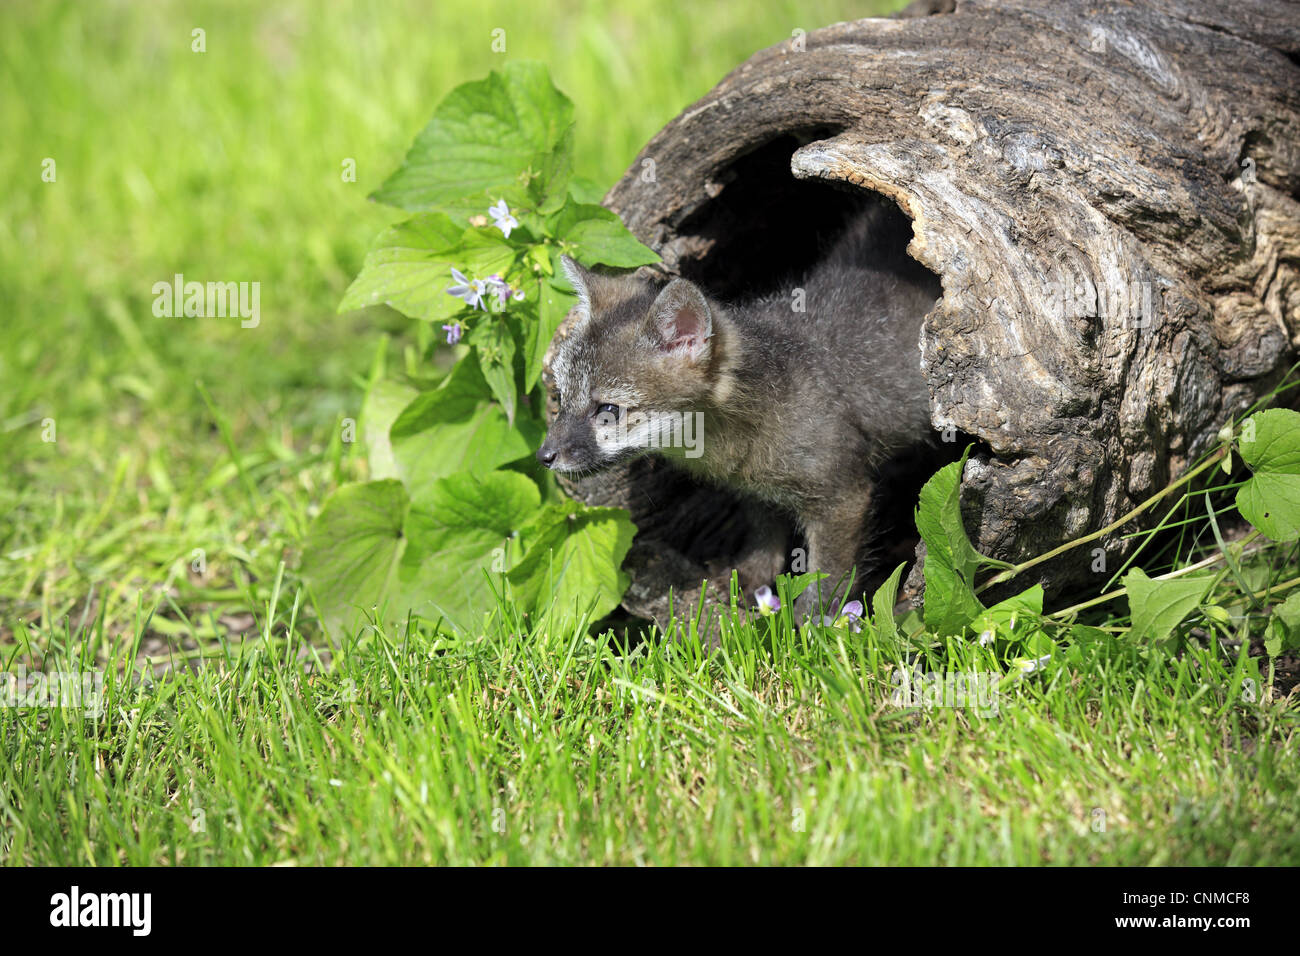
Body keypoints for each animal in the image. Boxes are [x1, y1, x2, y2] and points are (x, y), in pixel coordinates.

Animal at [537, 207, 941, 618]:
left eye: (607, 410)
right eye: (562, 396)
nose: (544, 456)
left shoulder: (843, 498)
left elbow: (826, 580)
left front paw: (814, 627)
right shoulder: (757, 490)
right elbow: (763, 541)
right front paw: (749, 585)